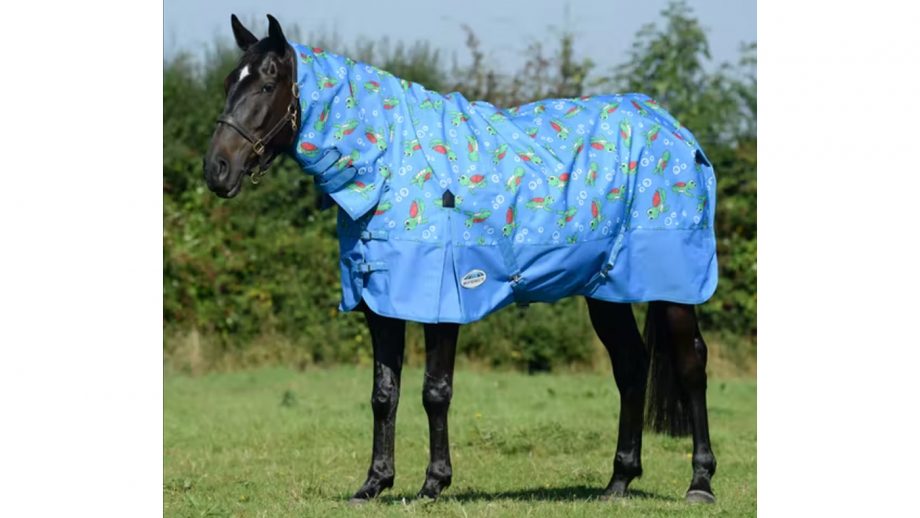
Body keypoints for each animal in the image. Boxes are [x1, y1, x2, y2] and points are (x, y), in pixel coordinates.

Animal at [203, 14, 718, 504]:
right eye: (229, 83)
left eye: (266, 85)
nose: (216, 170)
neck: (392, 163)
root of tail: (674, 129)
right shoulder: (380, 301)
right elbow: (383, 394)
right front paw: (374, 484)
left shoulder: (443, 299)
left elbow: (435, 391)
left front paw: (433, 483)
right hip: (606, 290)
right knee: (631, 367)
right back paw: (618, 482)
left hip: (673, 285)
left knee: (691, 366)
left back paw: (700, 483)